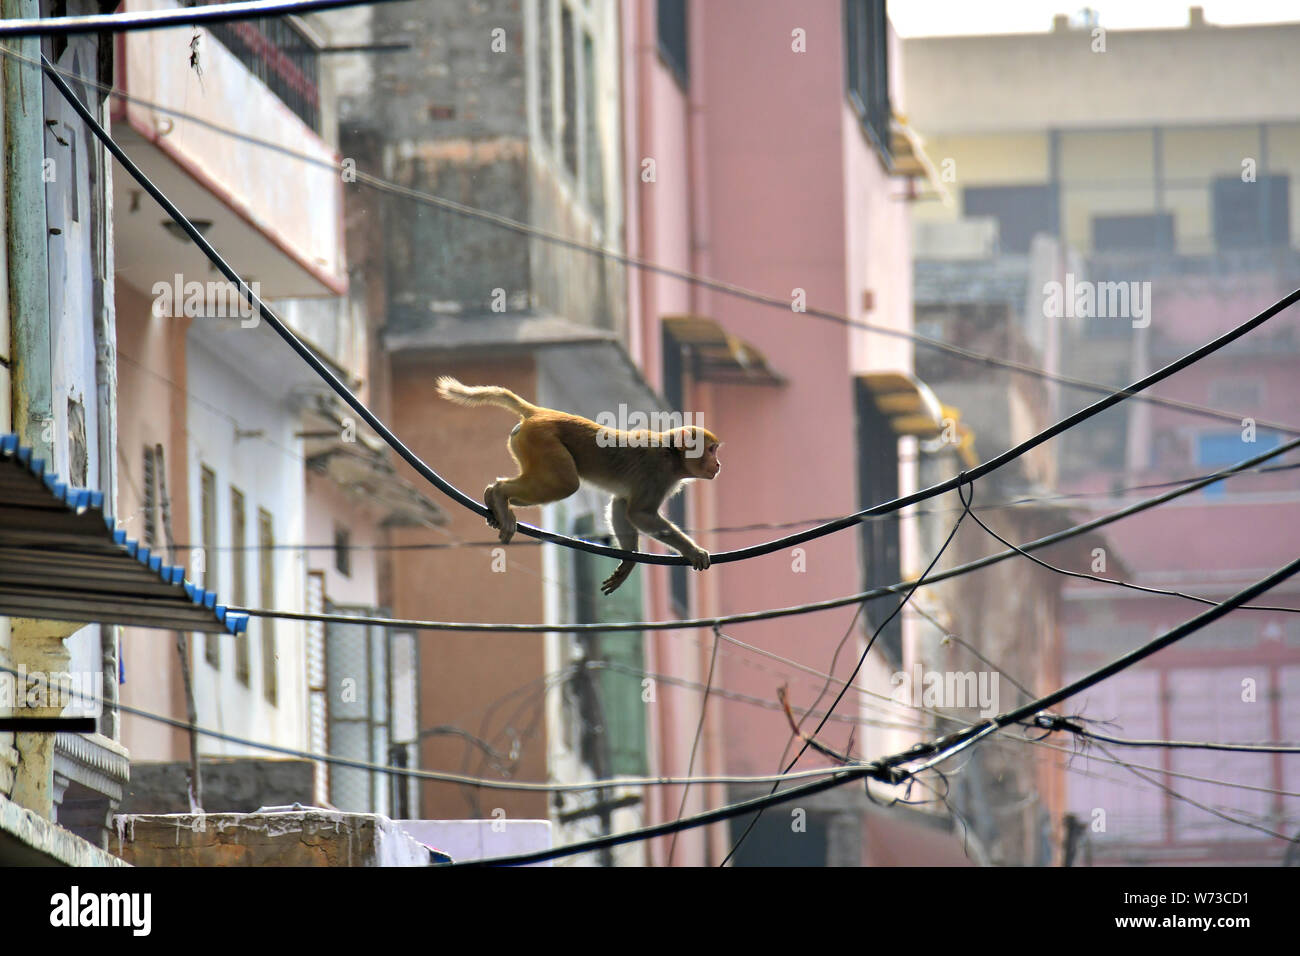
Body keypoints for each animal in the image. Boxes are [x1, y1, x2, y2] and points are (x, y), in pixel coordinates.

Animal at [435, 376, 721, 595]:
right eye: (710, 450)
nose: (718, 464)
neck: (673, 455)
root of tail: (540, 412)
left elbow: (621, 505)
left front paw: (628, 560)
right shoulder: (657, 473)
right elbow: (640, 513)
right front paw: (693, 551)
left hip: (526, 443)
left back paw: (494, 499)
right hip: (543, 441)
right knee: (565, 483)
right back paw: (498, 494)